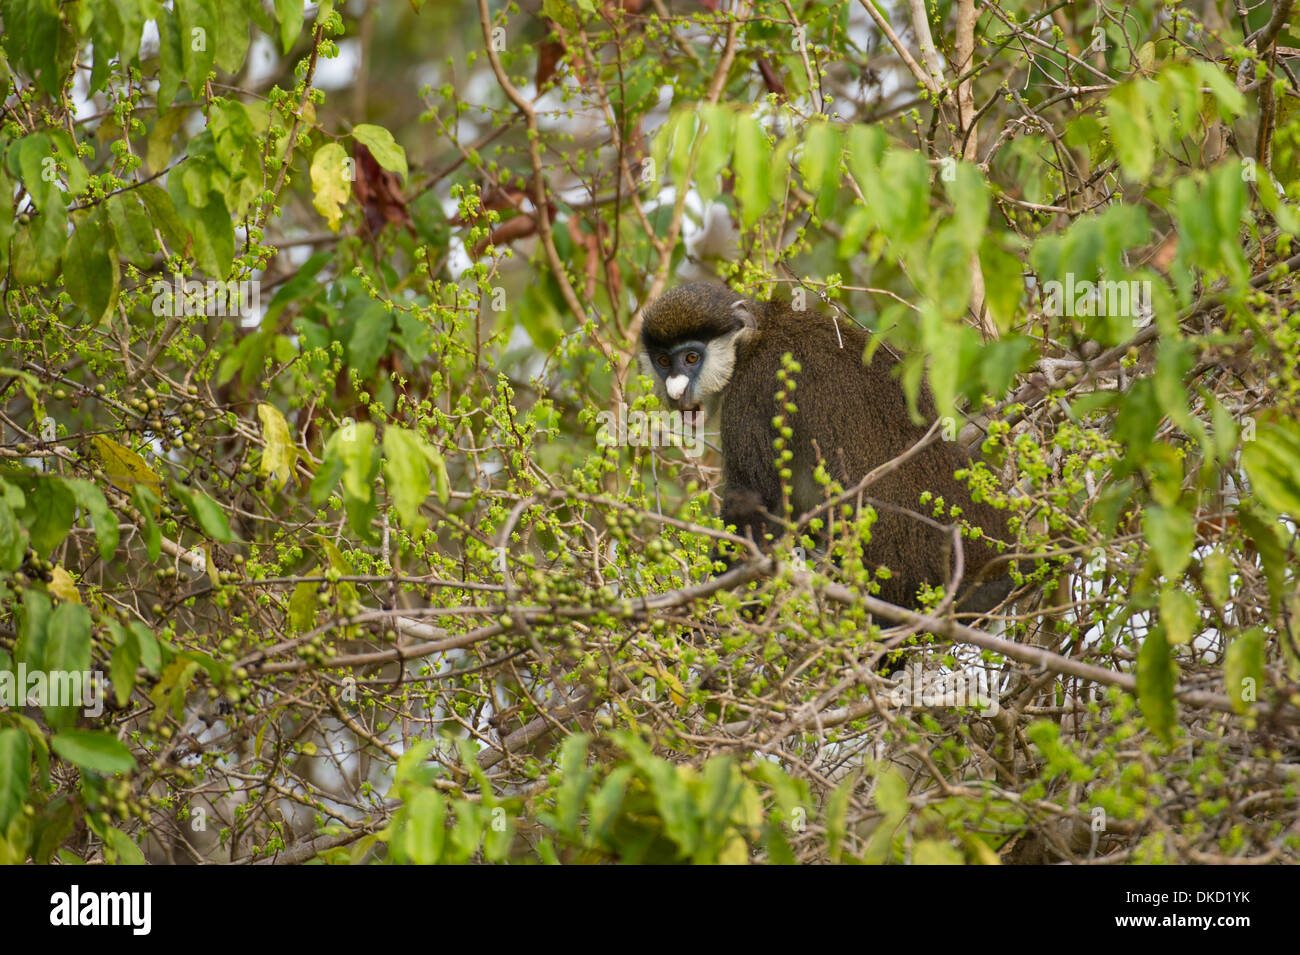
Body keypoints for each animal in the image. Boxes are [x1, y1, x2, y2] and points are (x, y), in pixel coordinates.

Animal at [638, 281, 1015, 617]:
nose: (675, 392)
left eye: (691, 357)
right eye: (663, 362)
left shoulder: (752, 394)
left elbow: (754, 505)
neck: (753, 341)